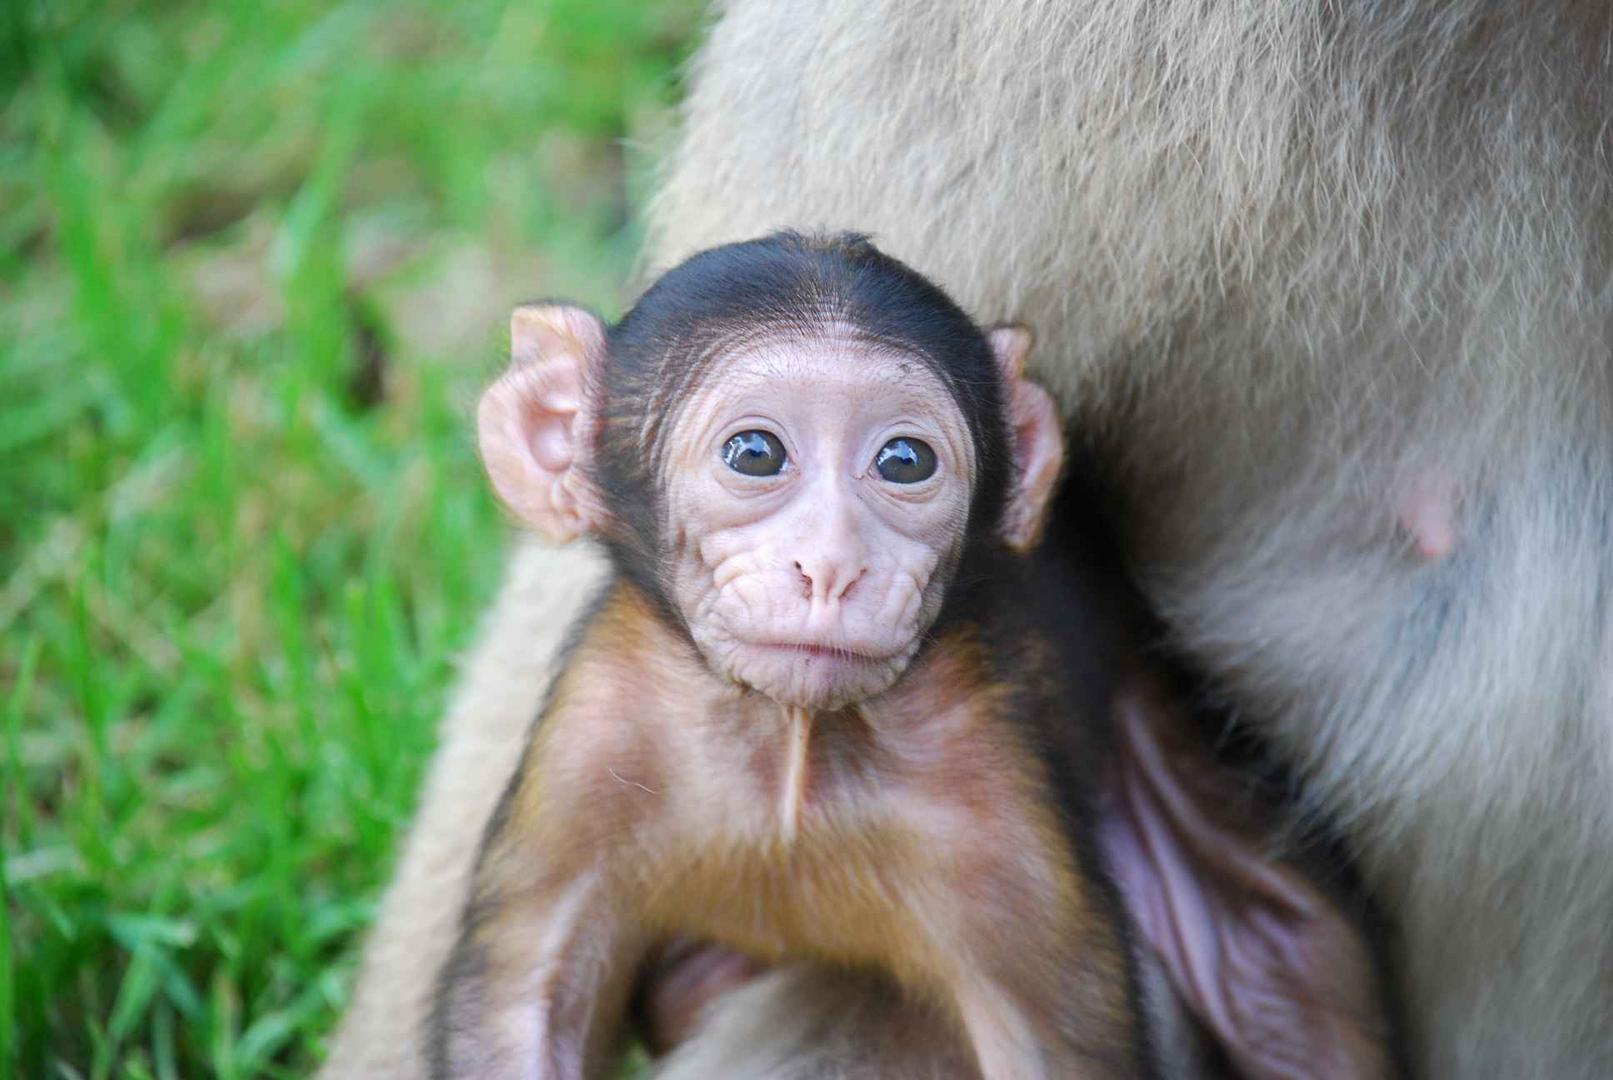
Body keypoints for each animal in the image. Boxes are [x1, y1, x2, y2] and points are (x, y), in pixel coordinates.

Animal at [322, 3, 1613, 1078]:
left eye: (905, 464)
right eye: (754, 454)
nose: (831, 568)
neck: (788, 753)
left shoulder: (988, 810)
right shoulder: (601, 738)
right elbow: (519, 992)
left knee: (1285, 967)